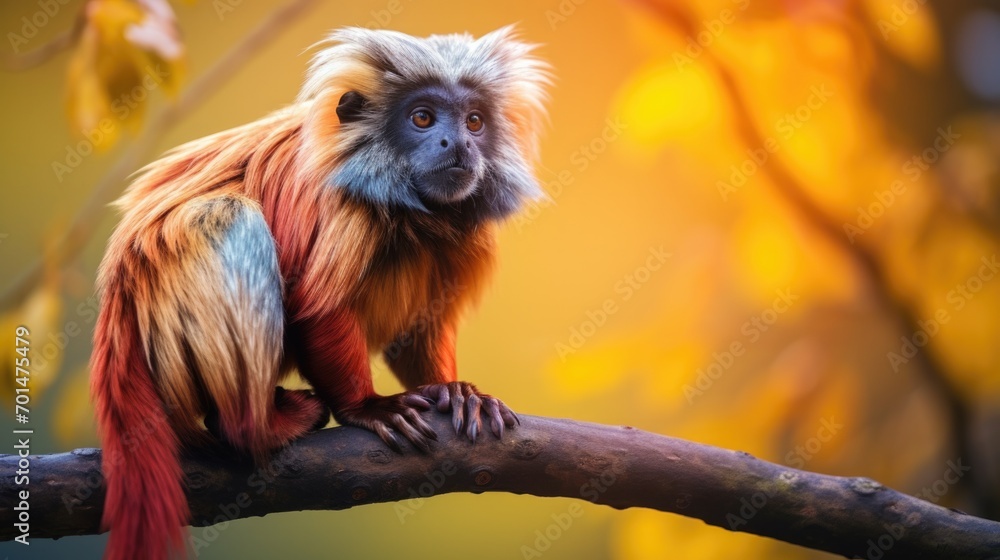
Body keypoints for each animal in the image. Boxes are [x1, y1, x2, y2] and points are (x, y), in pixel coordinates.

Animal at [89, 26, 549, 560]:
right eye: (422, 117)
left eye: (474, 121)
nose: (455, 143)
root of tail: (118, 303)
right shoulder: (345, 205)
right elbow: (319, 309)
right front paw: (367, 408)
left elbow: (418, 329)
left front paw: (453, 392)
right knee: (226, 214)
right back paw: (258, 427)